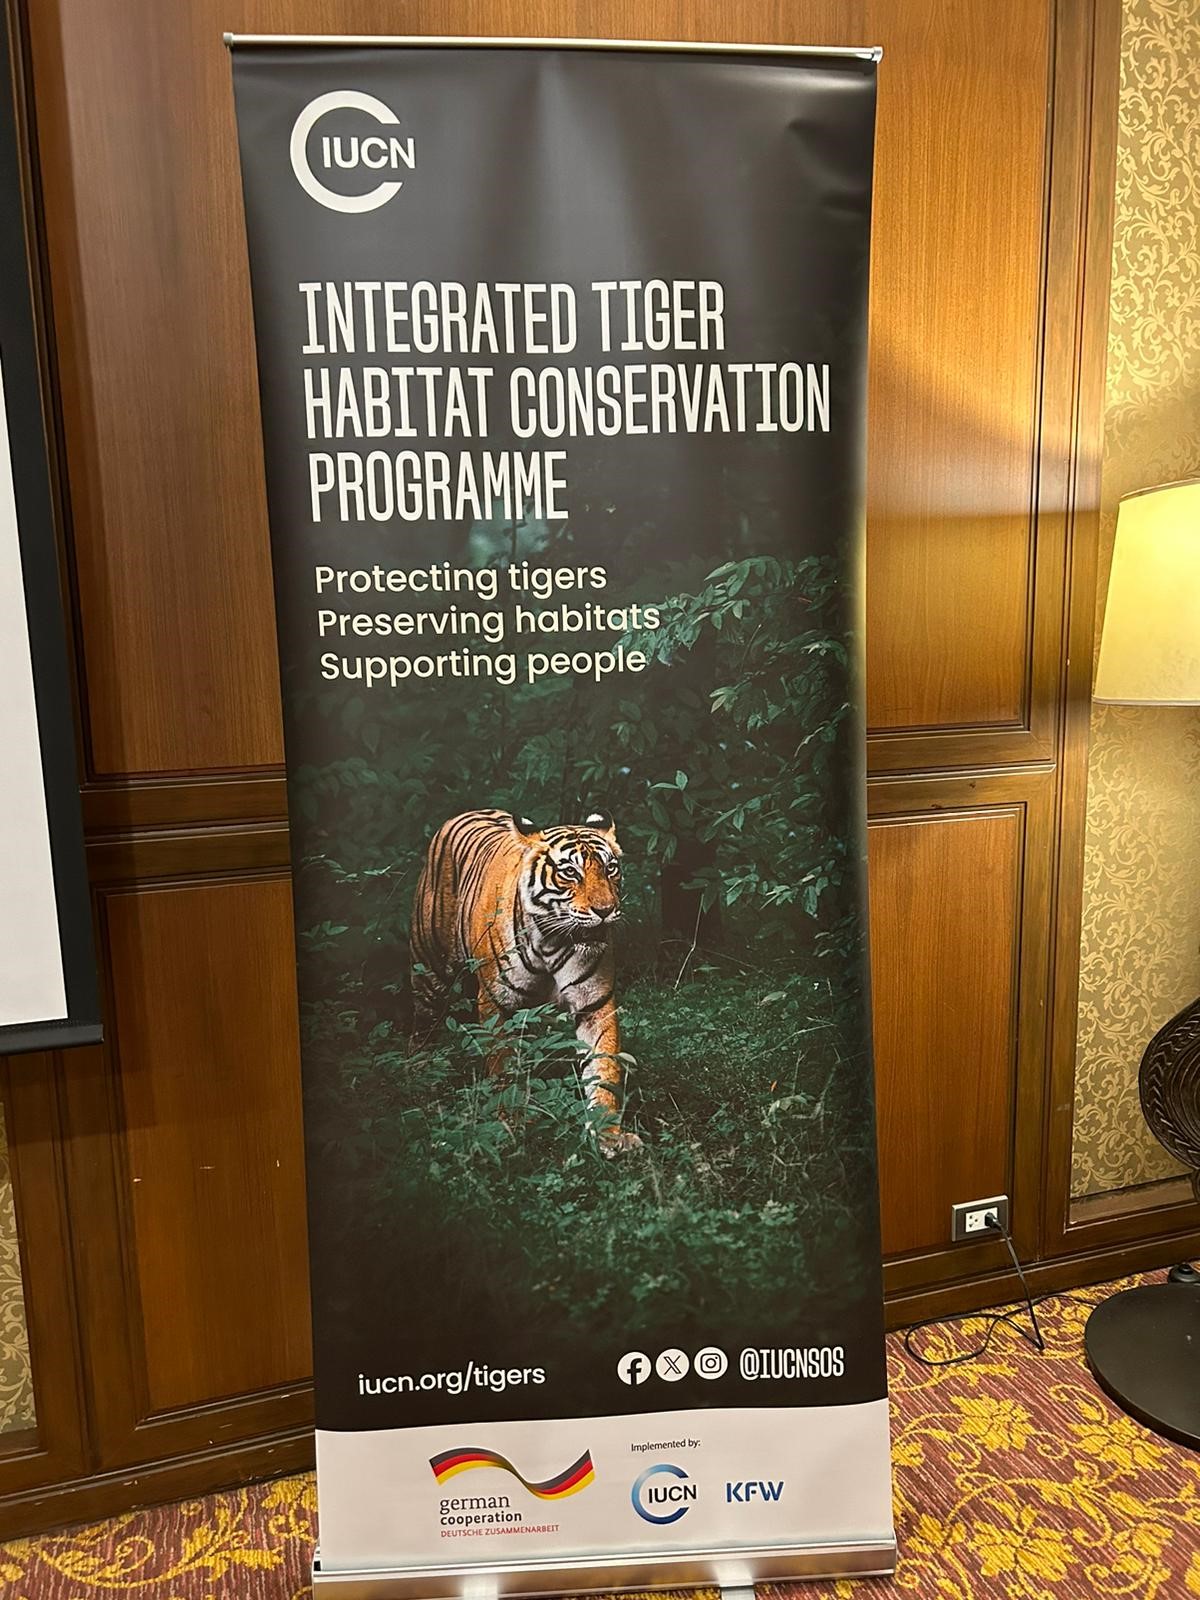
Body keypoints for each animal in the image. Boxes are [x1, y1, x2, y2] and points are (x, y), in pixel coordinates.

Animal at [410, 808, 641, 1153]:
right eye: (570, 872)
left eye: (610, 868)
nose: (605, 910)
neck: (551, 943)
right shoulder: (497, 1004)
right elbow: (504, 1067)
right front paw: (511, 1124)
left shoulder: (595, 1003)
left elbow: (603, 1068)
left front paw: (608, 1134)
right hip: (430, 970)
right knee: (422, 1024)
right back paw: (419, 1073)